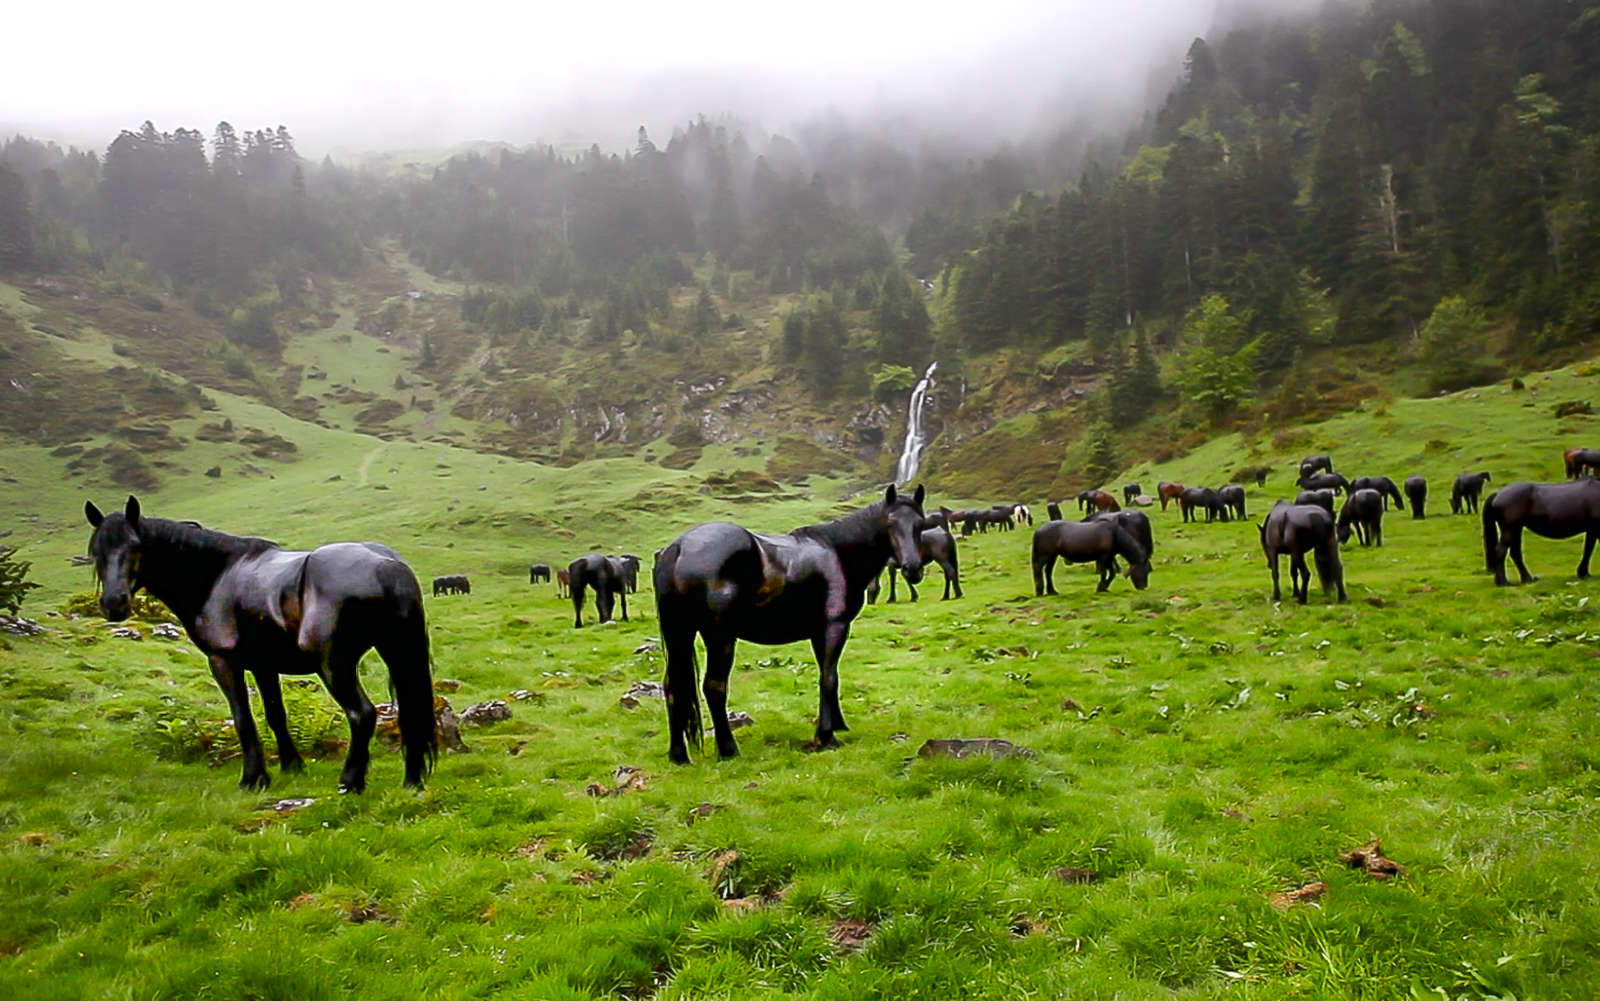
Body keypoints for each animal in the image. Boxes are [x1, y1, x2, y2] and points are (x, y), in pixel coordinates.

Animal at [83, 496, 436, 793]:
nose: (114, 604)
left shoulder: (224, 661)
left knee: (361, 714)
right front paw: (292, 767)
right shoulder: (264, 666)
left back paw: (350, 782)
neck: (215, 576)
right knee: (409, 715)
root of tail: (388, 566)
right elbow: (275, 714)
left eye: (135, 546)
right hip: (395, 652)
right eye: (96, 551)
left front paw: (253, 778)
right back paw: (412, 781)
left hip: (334, 665)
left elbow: (243, 718)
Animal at [654, 484, 926, 762]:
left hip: (679, 634)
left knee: (672, 686)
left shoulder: (818, 632)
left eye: (920, 524)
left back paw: (678, 755)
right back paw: (729, 750)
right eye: (891, 523)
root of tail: (678, 548)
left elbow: (831, 675)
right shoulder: (835, 627)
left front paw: (838, 724)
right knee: (714, 687)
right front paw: (826, 736)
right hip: (720, 639)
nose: (913, 568)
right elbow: (828, 678)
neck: (838, 554)